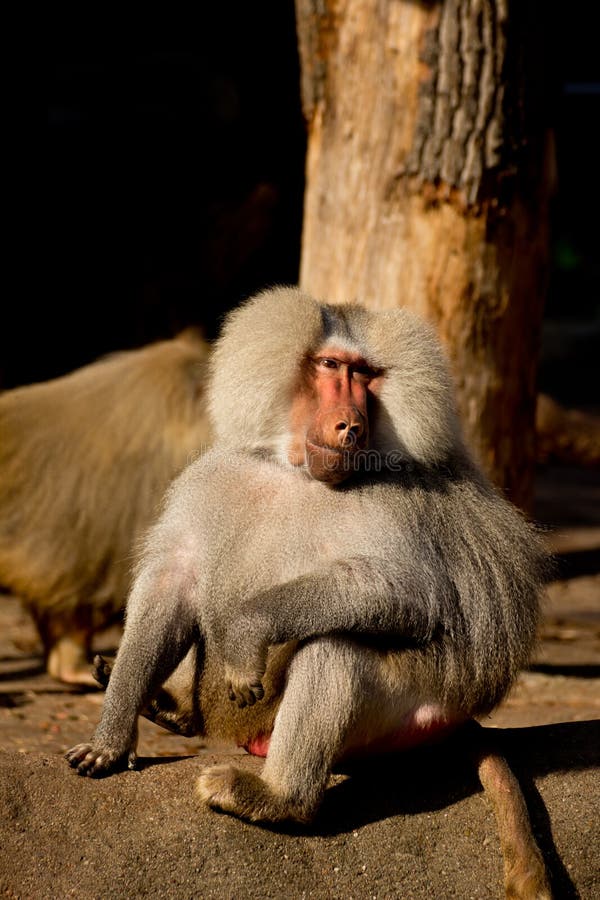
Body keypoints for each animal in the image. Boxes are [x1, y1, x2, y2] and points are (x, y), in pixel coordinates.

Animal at [66, 287, 551, 898]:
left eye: (365, 374)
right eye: (329, 366)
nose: (350, 426)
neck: (298, 471)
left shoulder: (392, 502)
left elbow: (407, 596)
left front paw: (242, 635)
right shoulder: (215, 476)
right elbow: (172, 586)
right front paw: (110, 739)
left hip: (421, 698)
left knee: (334, 650)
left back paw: (274, 799)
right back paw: (169, 710)